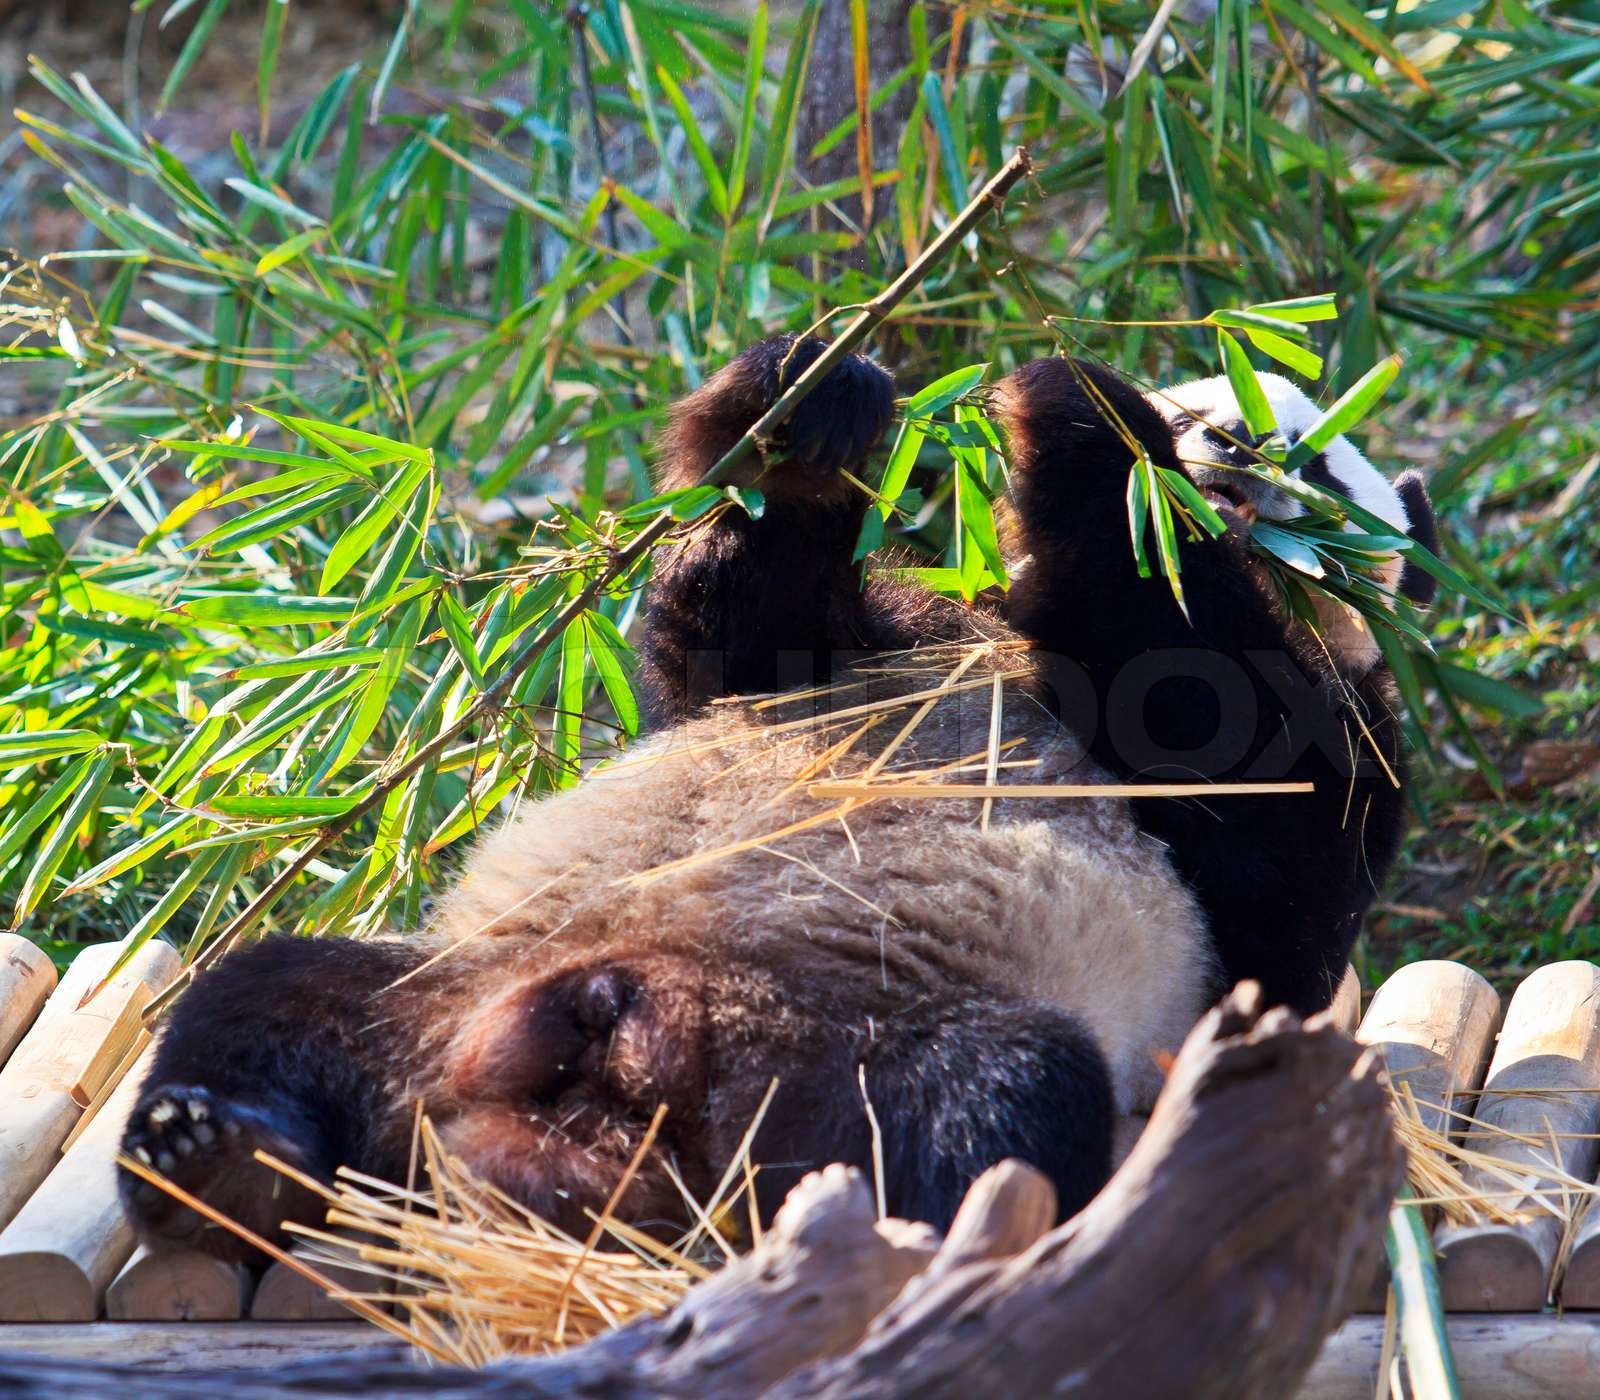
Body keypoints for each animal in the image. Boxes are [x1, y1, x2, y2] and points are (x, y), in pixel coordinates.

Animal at [119, 337, 1436, 1258]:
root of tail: (607, 1057)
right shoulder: (890, 638)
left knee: (987, 1105)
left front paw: (1085, 425)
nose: (1234, 445)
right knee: (268, 993)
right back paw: (222, 1157)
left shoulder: (1331, 752)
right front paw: (812, 408)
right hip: (445, 991)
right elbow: (735, 637)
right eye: (1198, 402)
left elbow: (1233, 762)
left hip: (848, 1060)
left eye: (1322, 453)